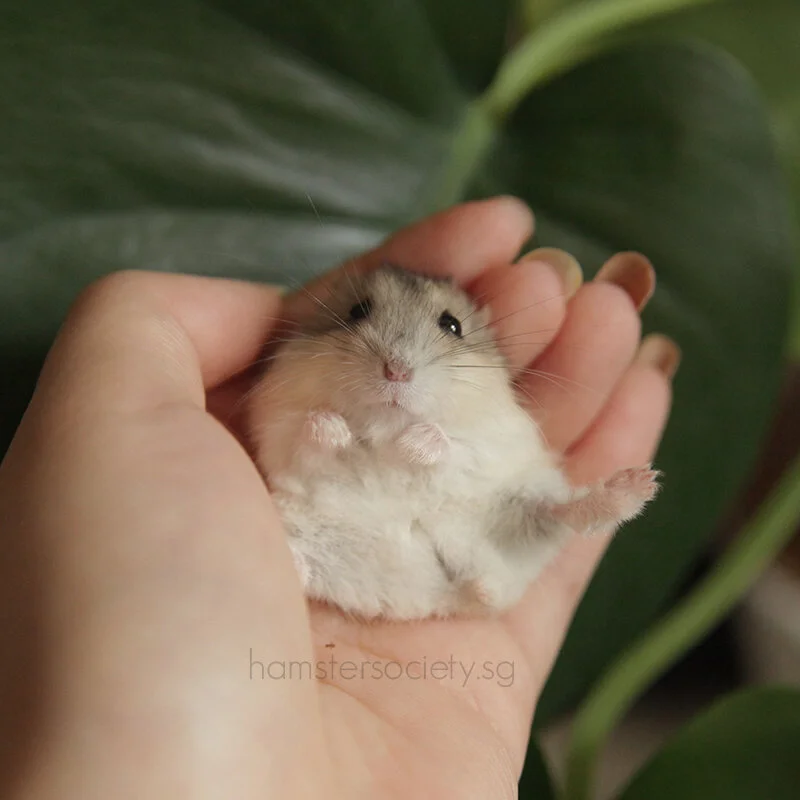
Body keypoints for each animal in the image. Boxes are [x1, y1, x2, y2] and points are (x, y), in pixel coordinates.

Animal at [246, 265, 658, 620]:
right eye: (357, 311)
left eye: (452, 325)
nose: (397, 371)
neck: (386, 426)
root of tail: (433, 595)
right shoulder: (279, 429)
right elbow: (307, 434)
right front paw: (336, 430)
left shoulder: (492, 438)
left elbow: (453, 445)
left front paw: (410, 446)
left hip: (524, 502)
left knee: (562, 513)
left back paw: (639, 485)